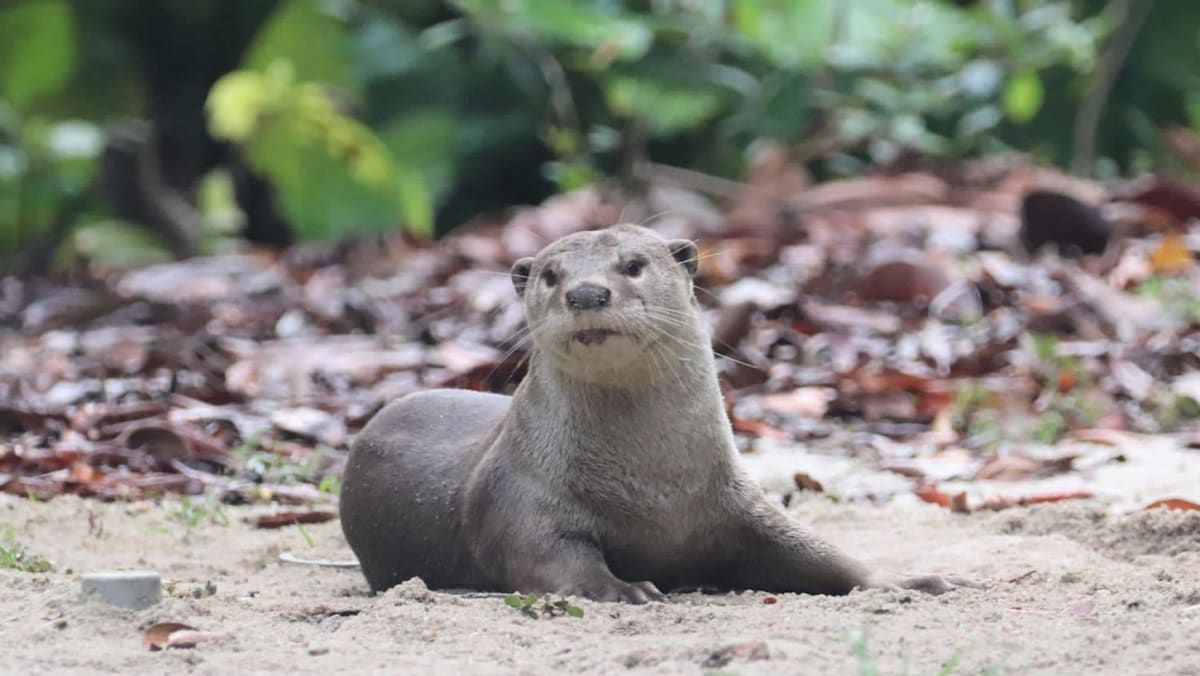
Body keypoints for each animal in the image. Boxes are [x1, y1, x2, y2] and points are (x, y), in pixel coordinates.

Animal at [340, 224, 963, 601]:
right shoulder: (523, 498)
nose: (586, 293)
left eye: (634, 265)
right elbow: (549, 556)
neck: (653, 486)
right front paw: (623, 588)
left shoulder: (740, 503)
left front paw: (913, 580)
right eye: (551, 275)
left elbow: (824, 556)